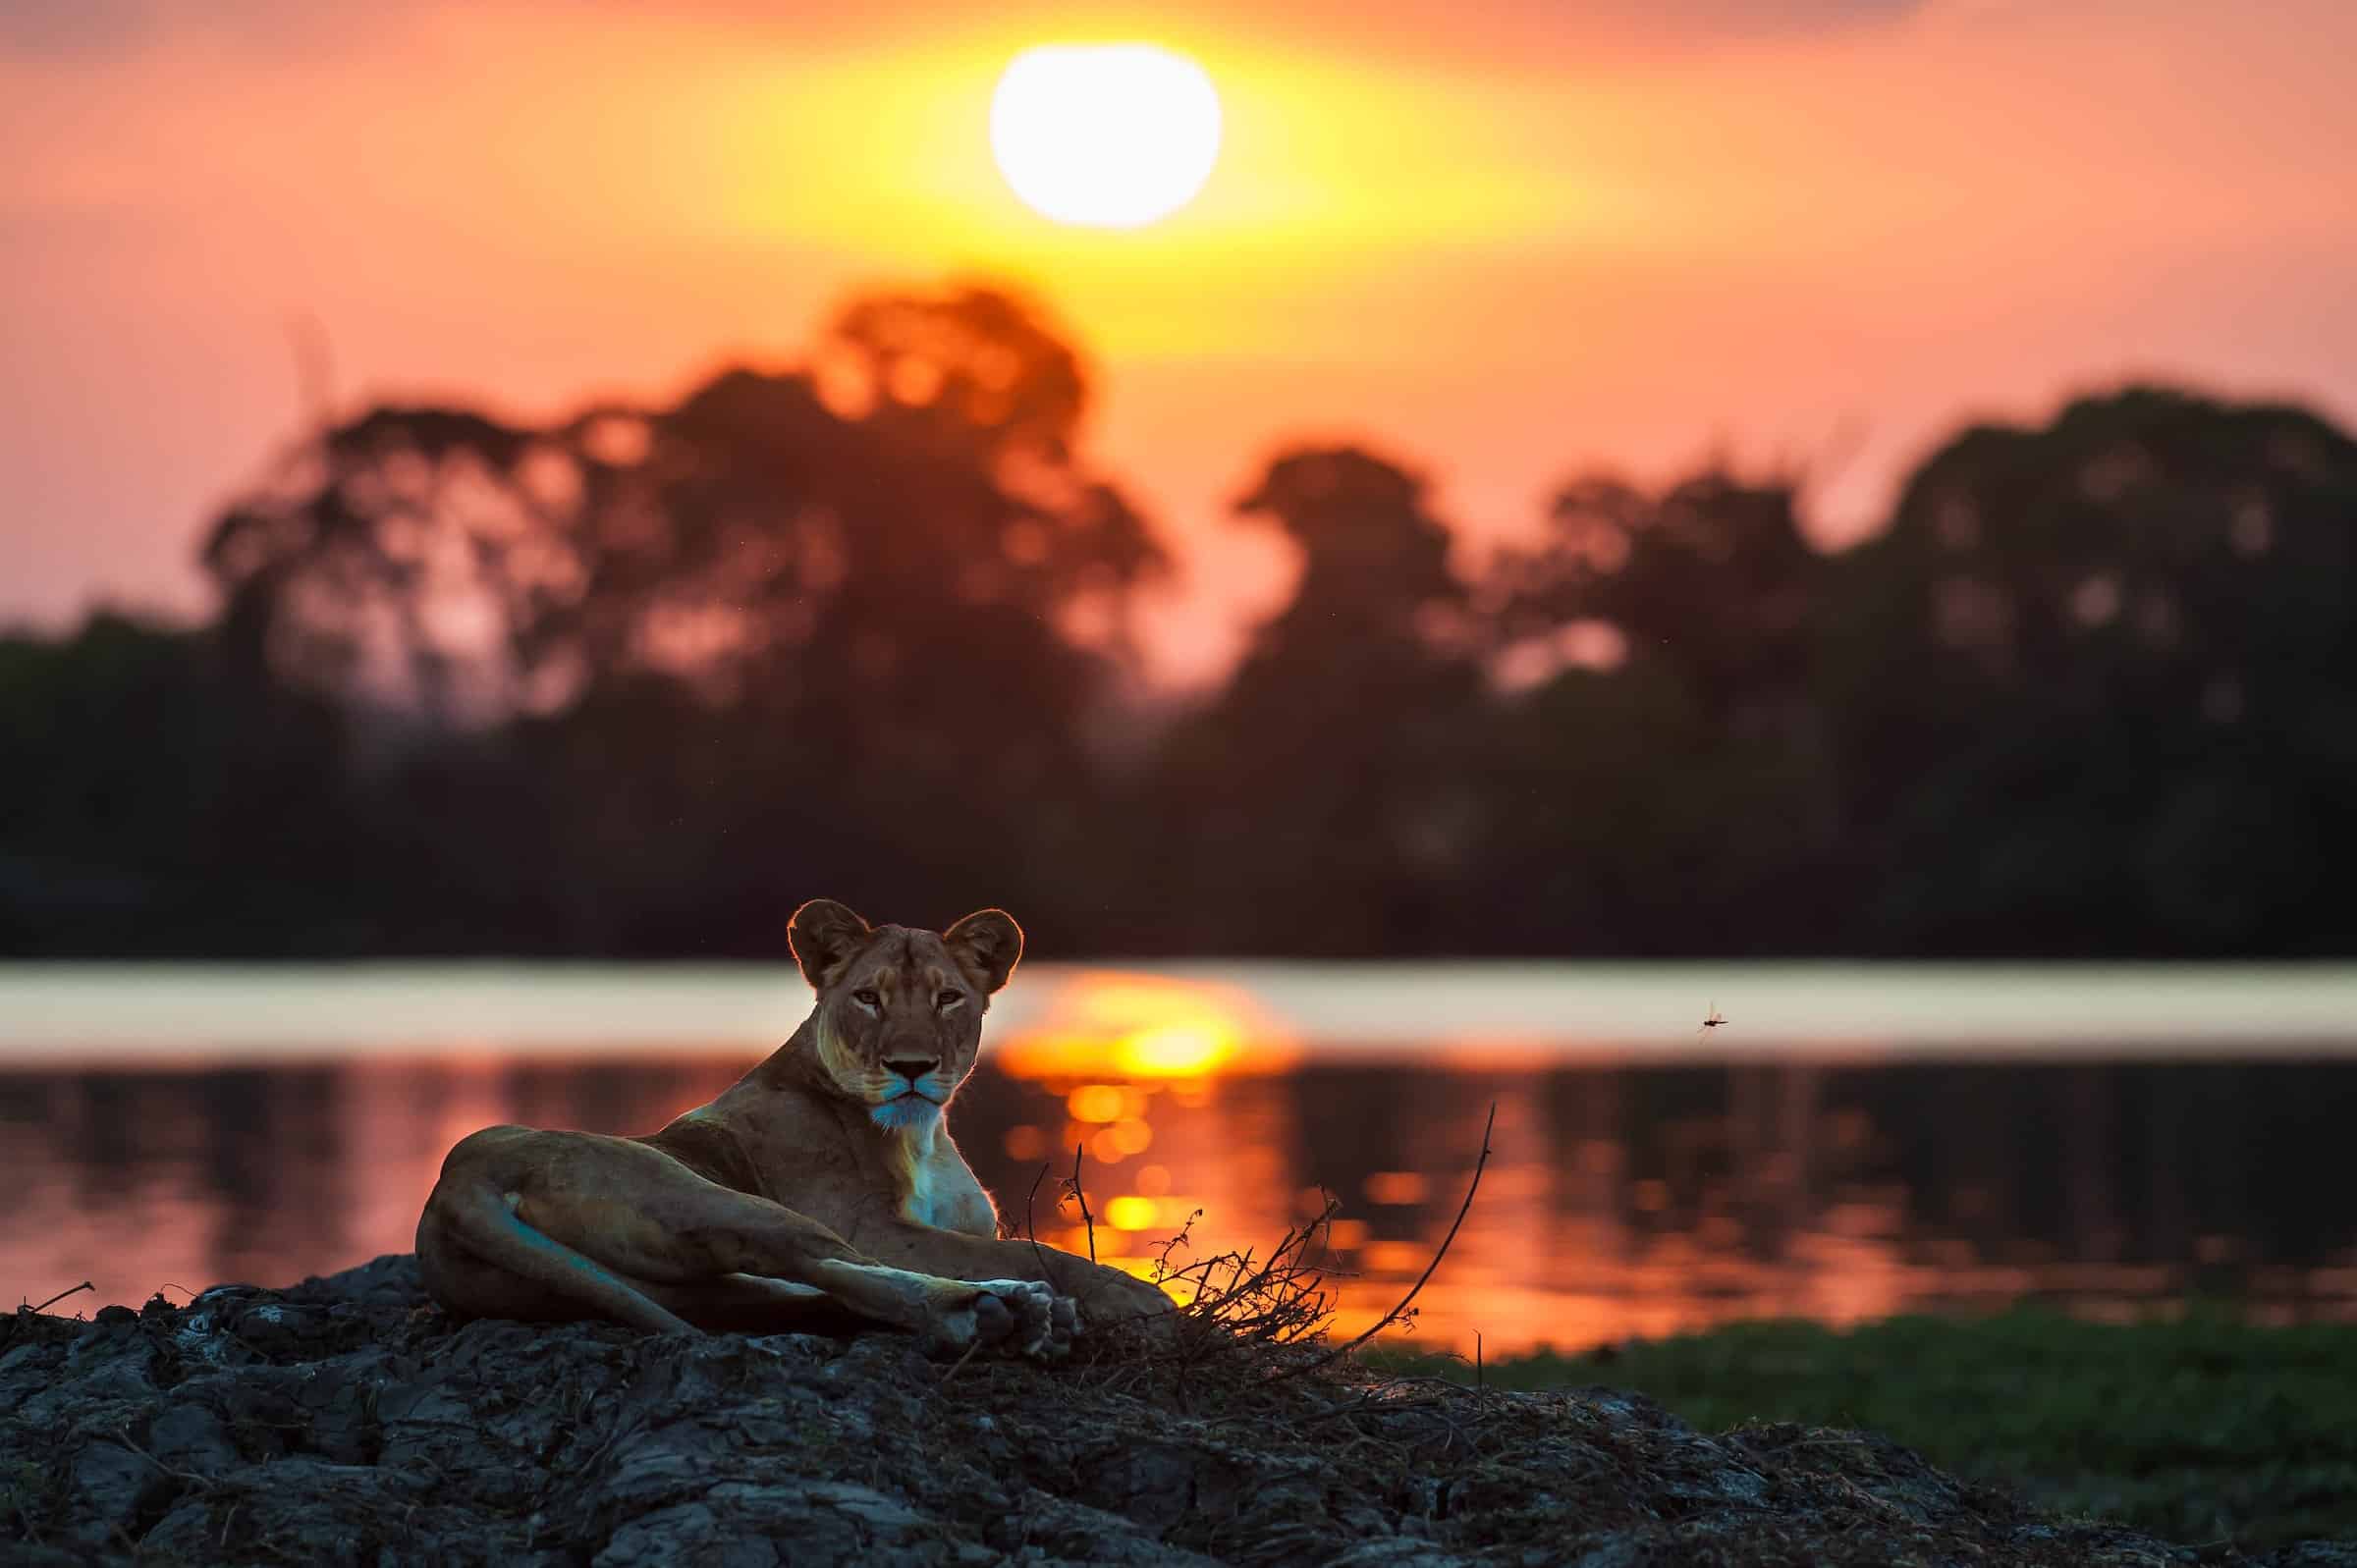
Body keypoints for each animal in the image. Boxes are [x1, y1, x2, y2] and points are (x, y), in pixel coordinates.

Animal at [416, 899, 1173, 1359]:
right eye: (867, 998)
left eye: (948, 997)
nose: (911, 1067)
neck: (923, 1134)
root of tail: (457, 1179)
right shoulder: (875, 1226)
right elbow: (1029, 1252)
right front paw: (1138, 1296)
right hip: (709, 1196)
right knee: (838, 1267)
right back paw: (1002, 1313)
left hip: (666, 1284)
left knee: (817, 1291)